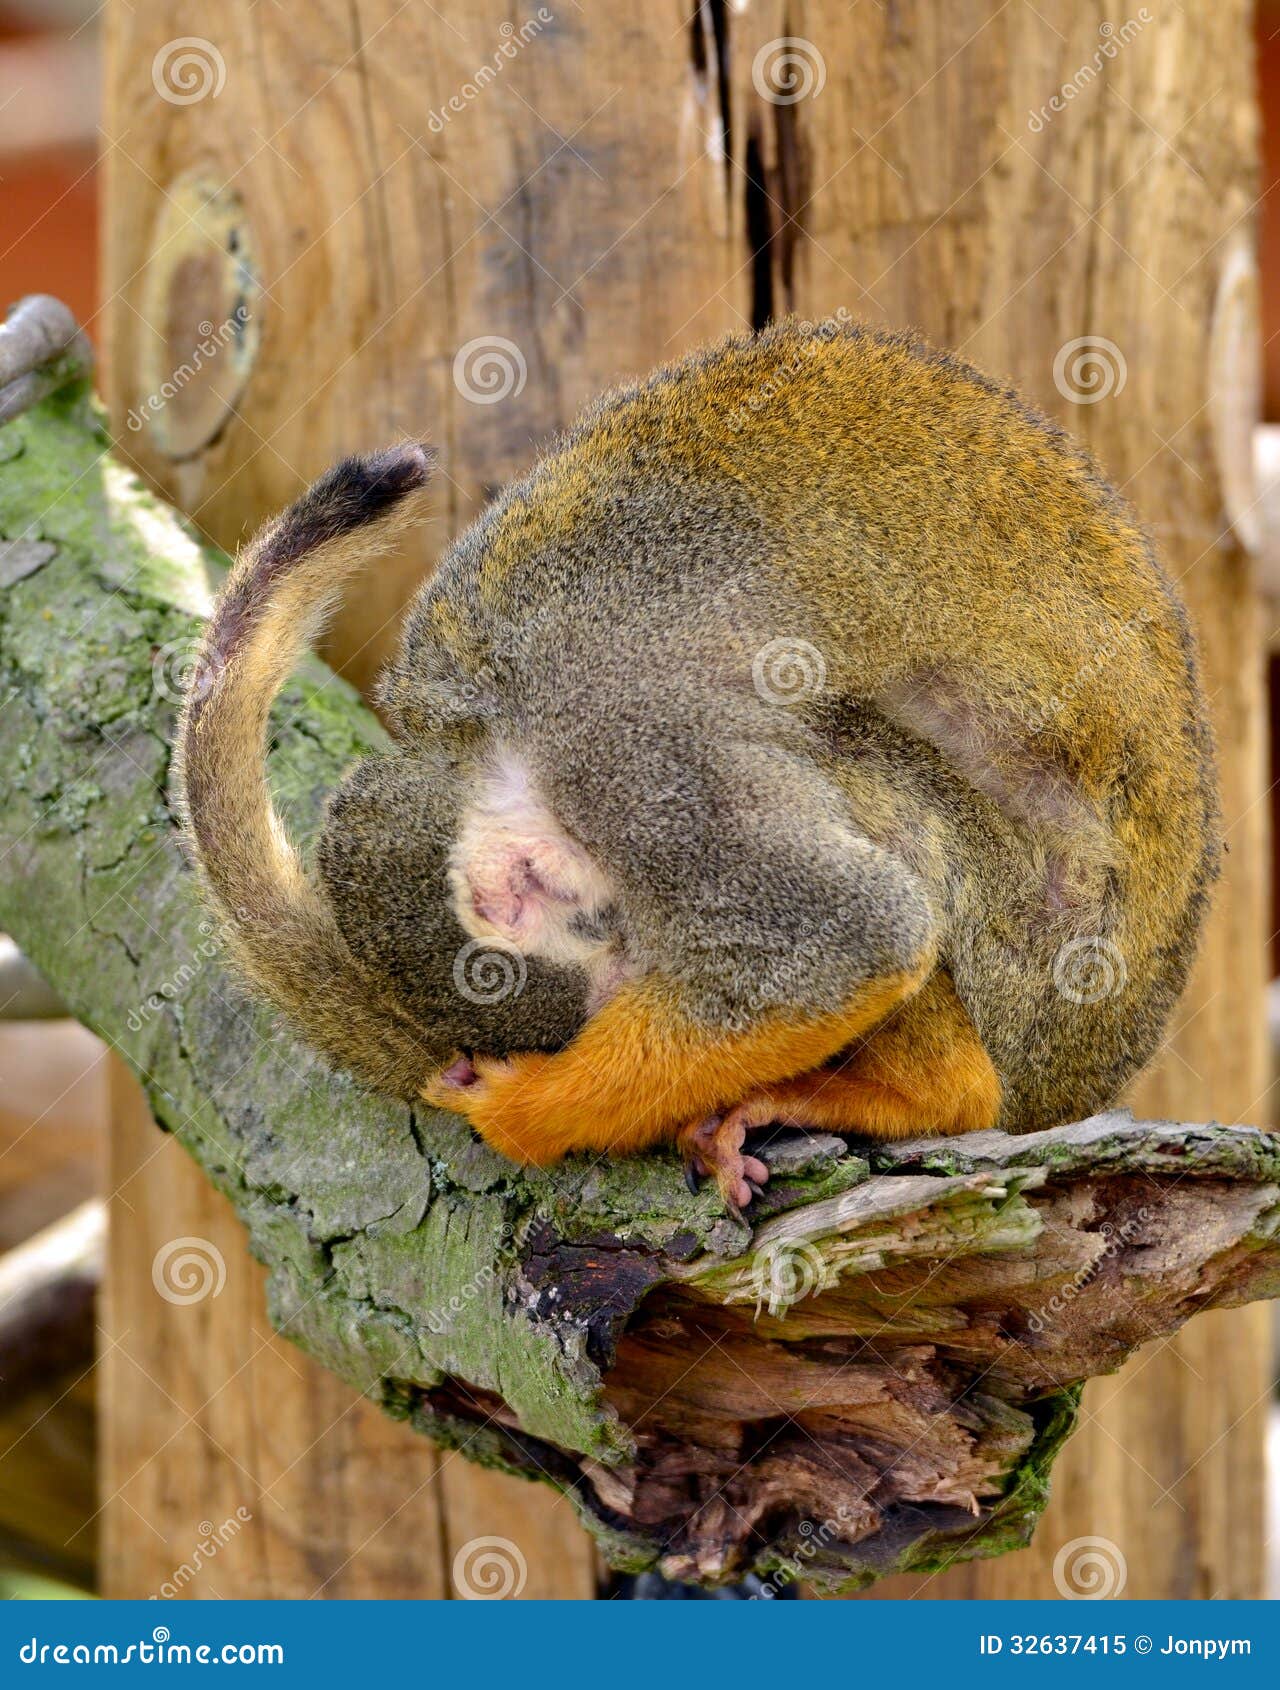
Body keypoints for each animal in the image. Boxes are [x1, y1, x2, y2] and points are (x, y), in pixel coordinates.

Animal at [166, 314, 1217, 1211]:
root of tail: (1084, 1075)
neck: (488, 735)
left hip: (1028, 959)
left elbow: (852, 933)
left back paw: (931, 1094)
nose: (632, 982)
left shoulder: (618, 735)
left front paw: (525, 1111)